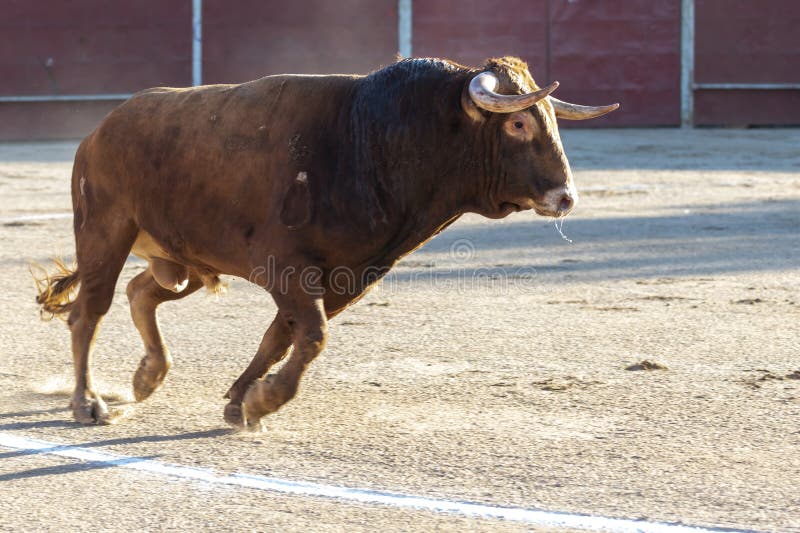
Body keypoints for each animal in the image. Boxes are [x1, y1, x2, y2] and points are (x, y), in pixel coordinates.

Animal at [34, 56, 618, 428]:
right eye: (518, 123)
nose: (566, 196)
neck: (372, 141)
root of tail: (100, 131)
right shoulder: (288, 269)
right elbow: (311, 337)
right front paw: (263, 401)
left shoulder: (349, 277)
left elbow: (282, 337)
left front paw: (241, 400)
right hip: (105, 231)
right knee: (89, 312)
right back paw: (88, 404)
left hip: (185, 261)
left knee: (141, 293)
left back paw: (148, 377)